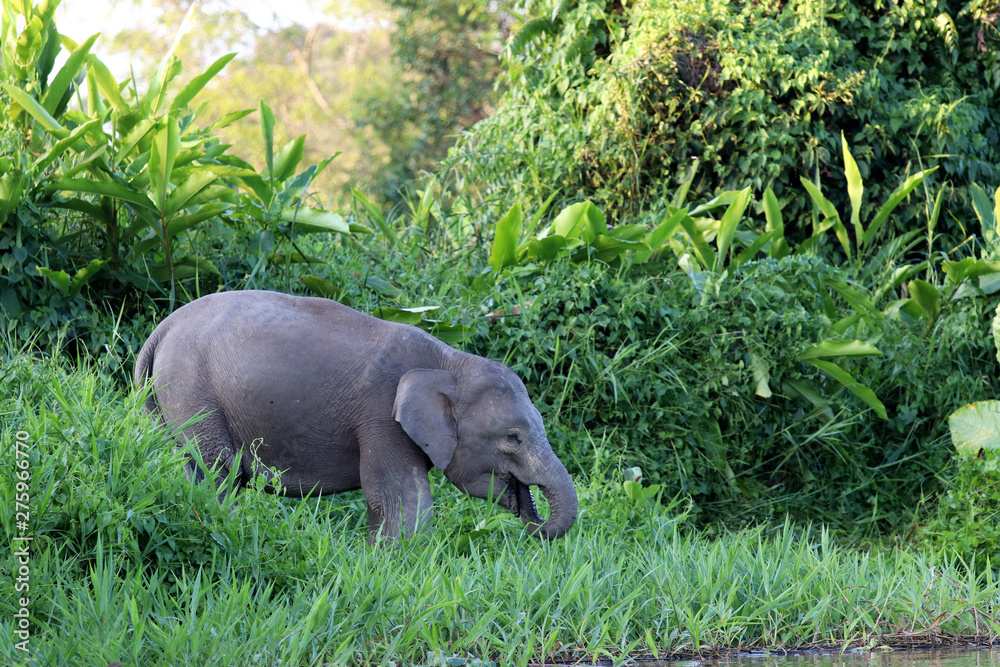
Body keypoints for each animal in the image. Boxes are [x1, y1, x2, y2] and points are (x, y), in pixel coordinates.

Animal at [134, 290, 577, 541]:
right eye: (513, 438)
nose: (533, 527)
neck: (451, 362)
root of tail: (160, 331)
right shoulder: (381, 416)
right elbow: (404, 499)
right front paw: (395, 557)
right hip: (192, 392)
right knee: (215, 471)